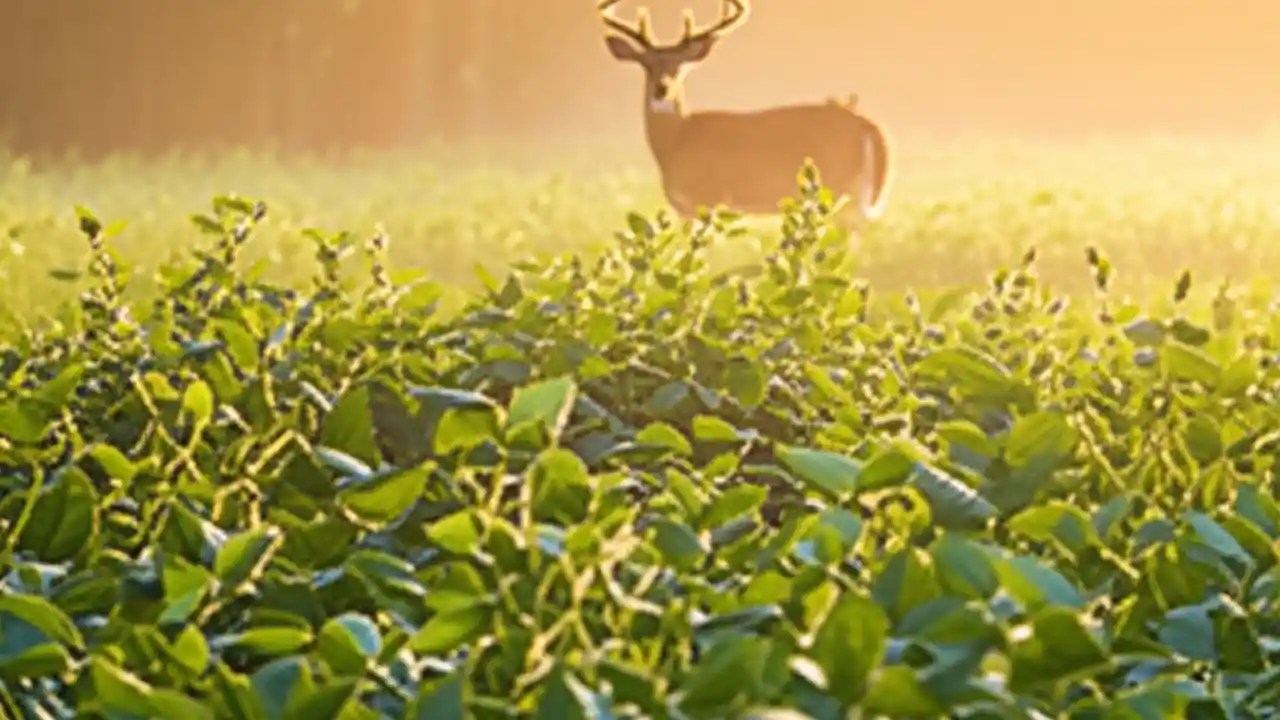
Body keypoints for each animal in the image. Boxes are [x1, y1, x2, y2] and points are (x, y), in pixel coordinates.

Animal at [598, 0, 892, 228]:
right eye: (645, 65)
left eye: (680, 66)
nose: (662, 89)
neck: (677, 142)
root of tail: (869, 127)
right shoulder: (685, 210)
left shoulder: (708, 198)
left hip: (836, 187)